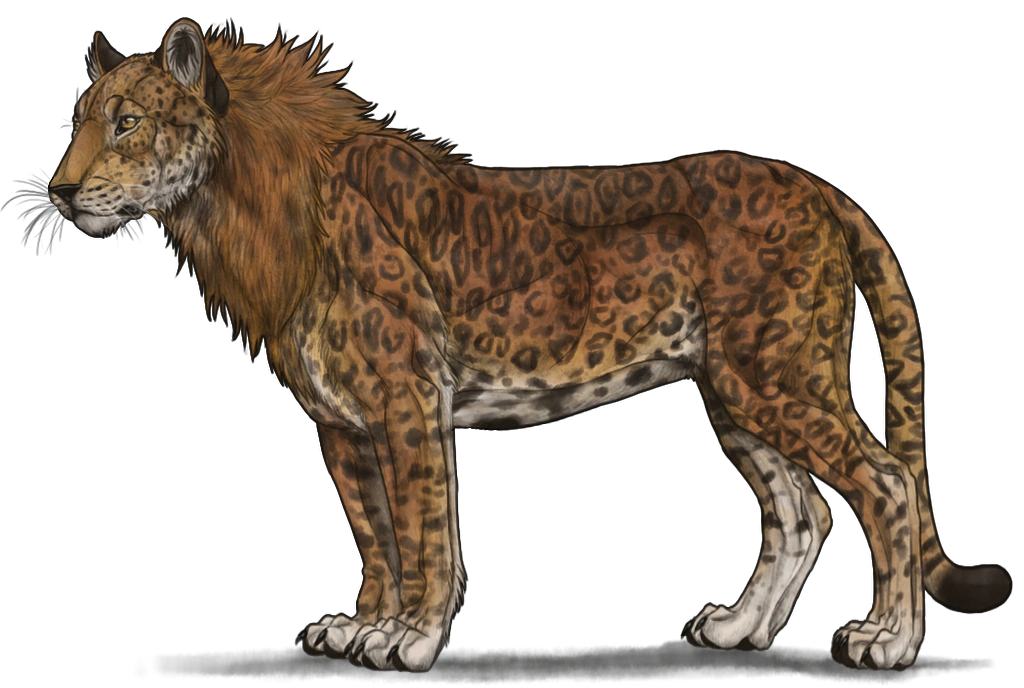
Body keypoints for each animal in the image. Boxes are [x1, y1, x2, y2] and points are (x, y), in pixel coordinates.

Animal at [49, 19, 1010, 671]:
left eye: (127, 122)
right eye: (81, 118)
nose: (59, 191)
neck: (248, 210)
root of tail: (815, 185)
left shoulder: (407, 398)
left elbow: (426, 532)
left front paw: (409, 637)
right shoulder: (343, 424)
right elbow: (375, 537)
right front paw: (361, 624)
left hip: (778, 376)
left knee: (884, 481)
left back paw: (888, 639)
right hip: (737, 392)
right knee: (799, 509)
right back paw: (741, 628)